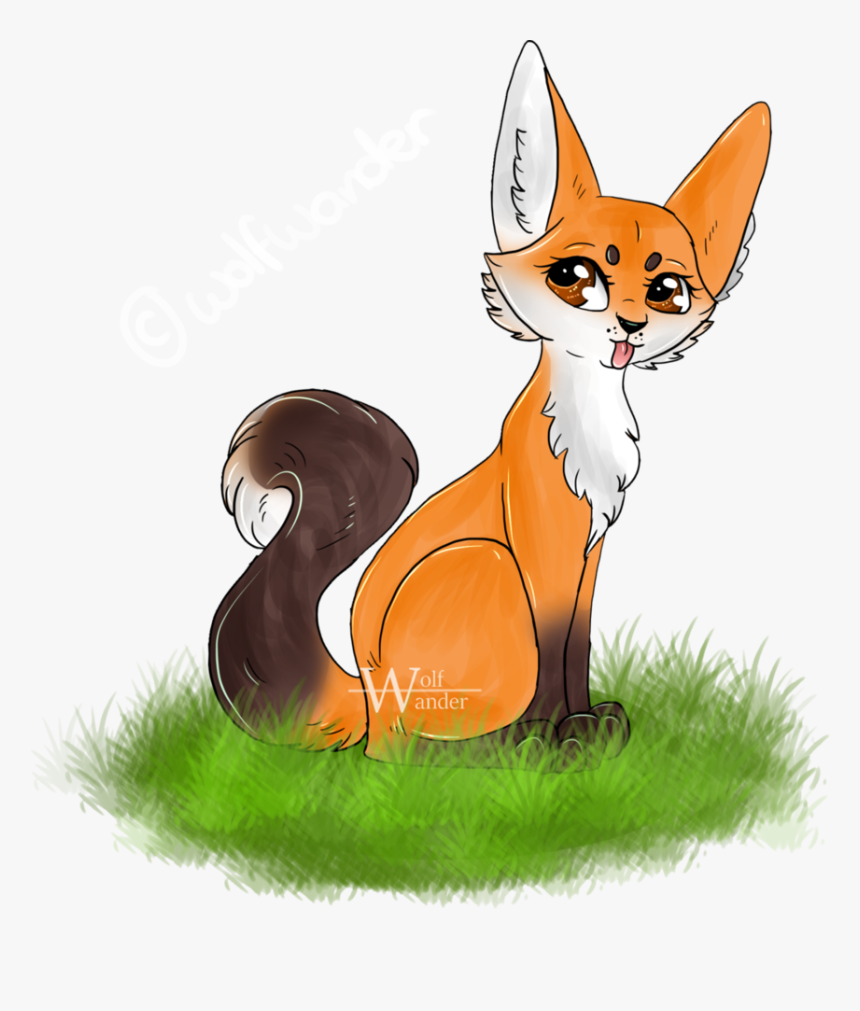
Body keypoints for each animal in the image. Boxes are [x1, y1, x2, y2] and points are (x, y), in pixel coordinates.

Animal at [209, 41, 770, 769]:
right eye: (577, 278)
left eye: (667, 290)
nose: (629, 326)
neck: (586, 438)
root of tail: (368, 697)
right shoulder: (541, 550)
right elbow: (552, 656)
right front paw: (559, 740)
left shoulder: (589, 550)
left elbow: (578, 646)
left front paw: (588, 725)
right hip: (485, 565)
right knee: (406, 755)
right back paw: (487, 755)